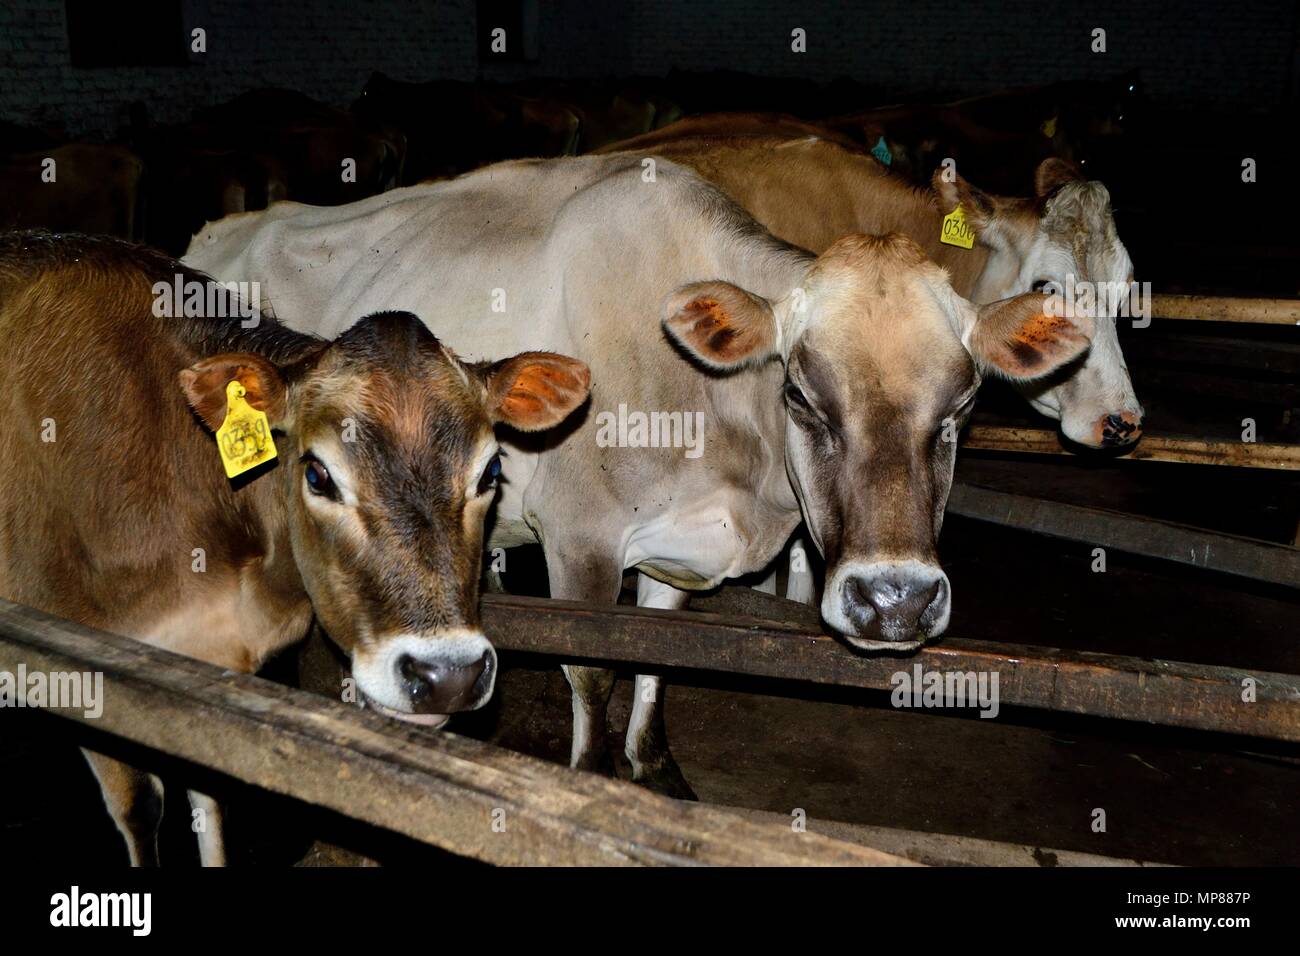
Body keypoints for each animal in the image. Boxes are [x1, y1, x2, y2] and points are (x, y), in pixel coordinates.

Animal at [0, 232, 591, 863]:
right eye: (318, 475)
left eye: (490, 472)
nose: (447, 675)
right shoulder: (81, 659)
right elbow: (141, 809)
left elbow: (210, 797)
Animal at [184, 155, 1092, 798]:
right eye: (801, 394)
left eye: (963, 402)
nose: (895, 601)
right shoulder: (582, 541)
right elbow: (596, 669)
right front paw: (593, 780)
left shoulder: (677, 547)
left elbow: (664, 655)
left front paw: (652, 765)